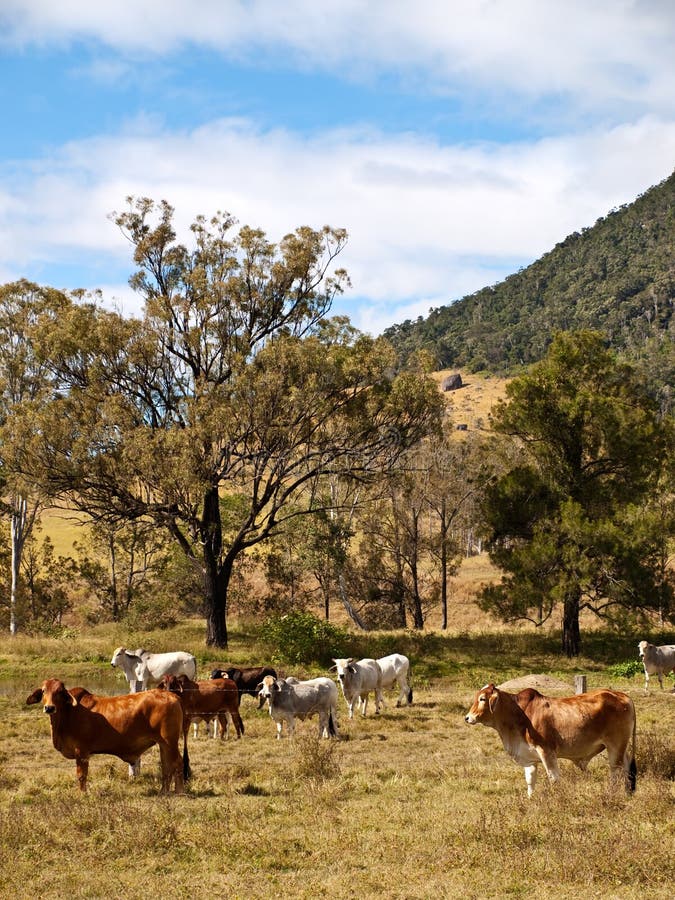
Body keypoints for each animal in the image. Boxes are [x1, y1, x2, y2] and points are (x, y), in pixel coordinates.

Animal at [26, 678, 186, 793]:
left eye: (59, 692)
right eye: (44, 691)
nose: (49, 708)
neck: (68, 713)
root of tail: (171, 695)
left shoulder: (82, 752)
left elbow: (81, 775)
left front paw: (82, 794)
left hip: (169, 742)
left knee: (177, 762)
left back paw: (179, 791)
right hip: (163, 744)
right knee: (166, 766)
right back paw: (163, 791)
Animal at [464, 683, 637, 798]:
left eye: (482, 699)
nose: (467, 718)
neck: (519, 714)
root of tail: (623, 696)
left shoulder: (546, 751)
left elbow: (553, 778)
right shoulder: (529, 757)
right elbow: (530, 780)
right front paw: (530, 799)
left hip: (615, 747)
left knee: (615, 772)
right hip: (622, 748)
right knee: (627, 768)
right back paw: (627, 794)